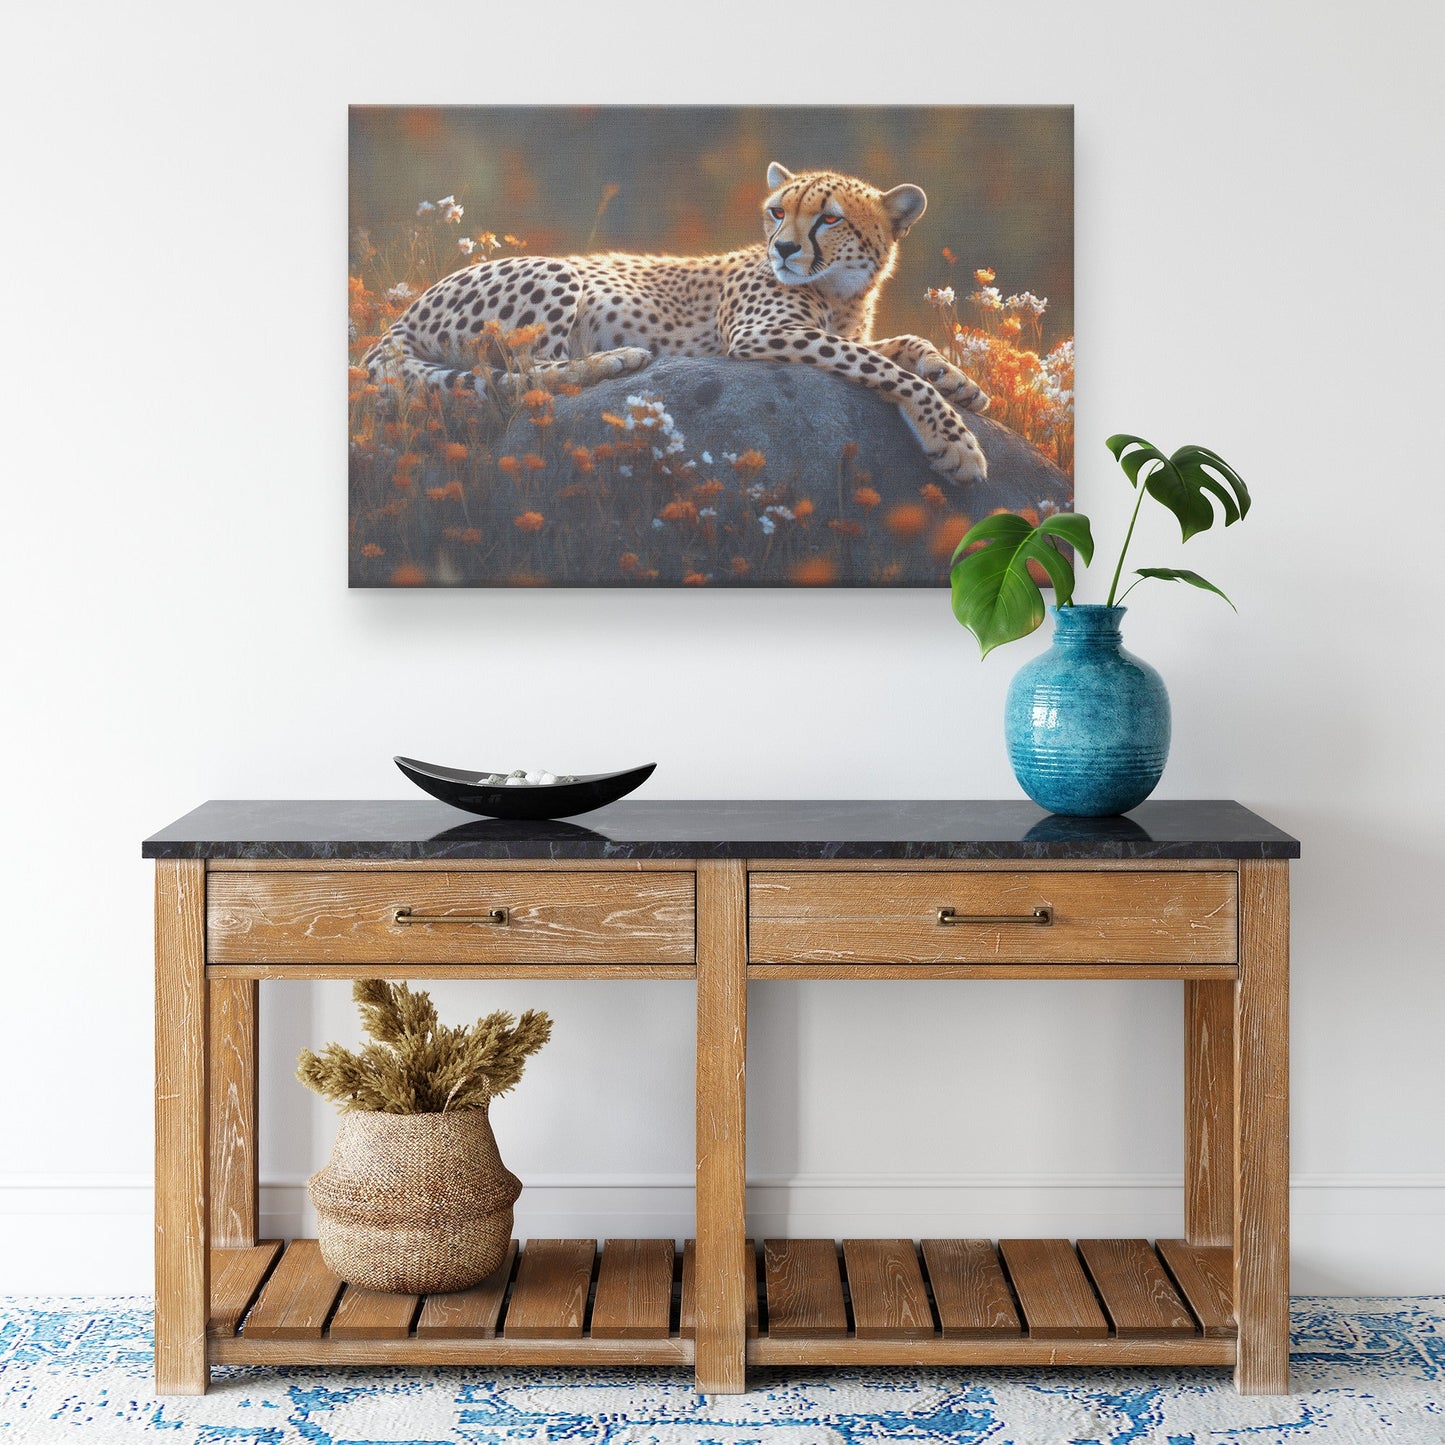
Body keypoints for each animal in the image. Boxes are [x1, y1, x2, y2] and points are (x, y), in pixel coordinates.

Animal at [364, 163, 990, 484]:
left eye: (830, 218)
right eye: (776, 211)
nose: (785, 249)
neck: (841, 291)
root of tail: (405, 309)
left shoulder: (834, 331)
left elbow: (902, 344)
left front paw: (960, 382)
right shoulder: (761, 333)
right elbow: (886, 368)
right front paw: (955, 442)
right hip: (556, 271)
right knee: (528, 378)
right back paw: (616, 359)